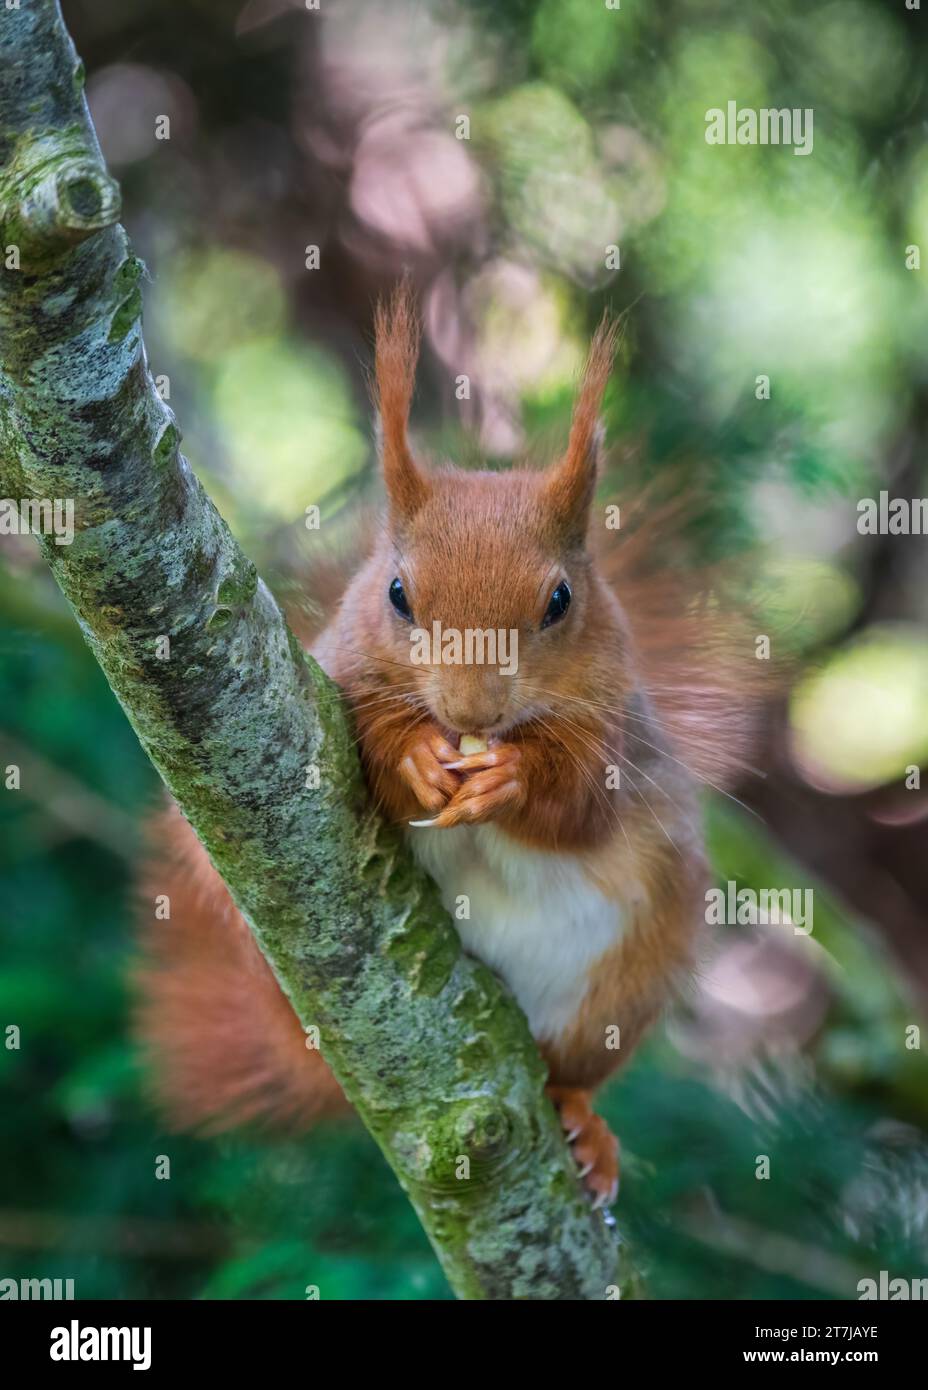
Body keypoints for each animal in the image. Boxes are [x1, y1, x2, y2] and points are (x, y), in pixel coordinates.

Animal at [135, 286, 760, 1208]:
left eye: (560, 601)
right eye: (397, 593)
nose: (470, 708)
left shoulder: (618, 733)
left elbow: (581, 803)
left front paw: (510, 777)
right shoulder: (335, 674)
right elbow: (368, 741)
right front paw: (418, 760)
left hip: (625, 986)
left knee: (572, 1071)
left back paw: (588, 1127)